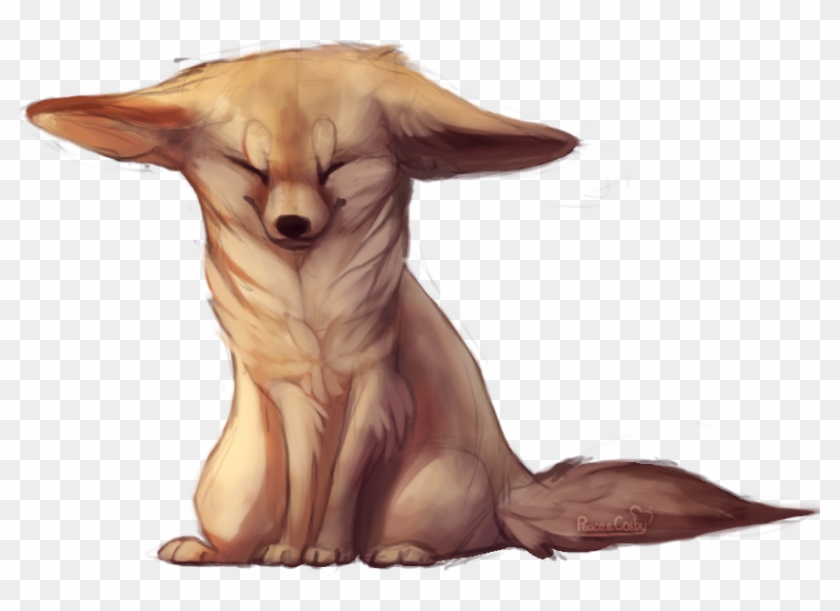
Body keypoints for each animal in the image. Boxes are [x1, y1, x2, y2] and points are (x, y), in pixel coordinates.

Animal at [26, 43, 814, 568]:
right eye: (252, 168)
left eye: (336, 167)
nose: (292, 225)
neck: (311, 300)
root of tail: (516, 481)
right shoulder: (290, 394)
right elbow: (306, 483)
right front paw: (290, 546)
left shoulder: (378, 385)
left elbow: (341, 485)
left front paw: (326, 549)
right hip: (233, 483)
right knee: (240, 529)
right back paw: (214, 551)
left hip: (433, 483)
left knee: (476, 539)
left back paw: (399, 550)